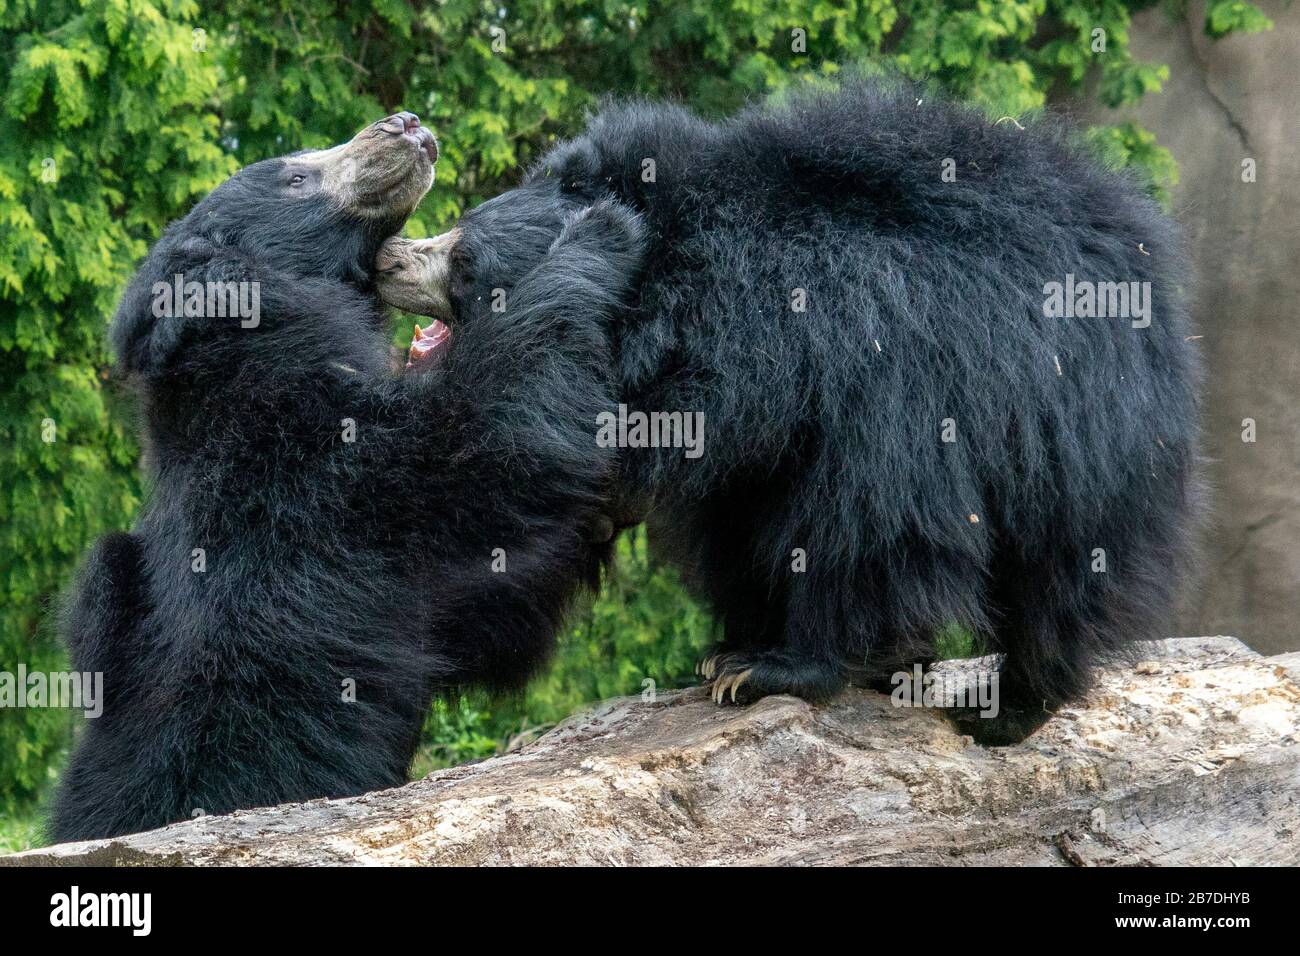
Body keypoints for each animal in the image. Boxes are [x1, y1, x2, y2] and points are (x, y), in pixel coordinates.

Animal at [49, 110, 647, 842]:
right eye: (296, 177)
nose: (405, 123)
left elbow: (487, 606)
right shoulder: (311, 474)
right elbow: (484, 445)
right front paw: (600, 229)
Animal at [375, 80, 1202, 741]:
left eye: (462, 258)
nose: (384, 260)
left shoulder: (880, 378)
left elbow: (869, 522)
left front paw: (774, 669)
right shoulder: (749, 422)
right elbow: (743, 518)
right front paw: (732, 646)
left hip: (1076, 425)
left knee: (1057, 580)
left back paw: (1005, 709)